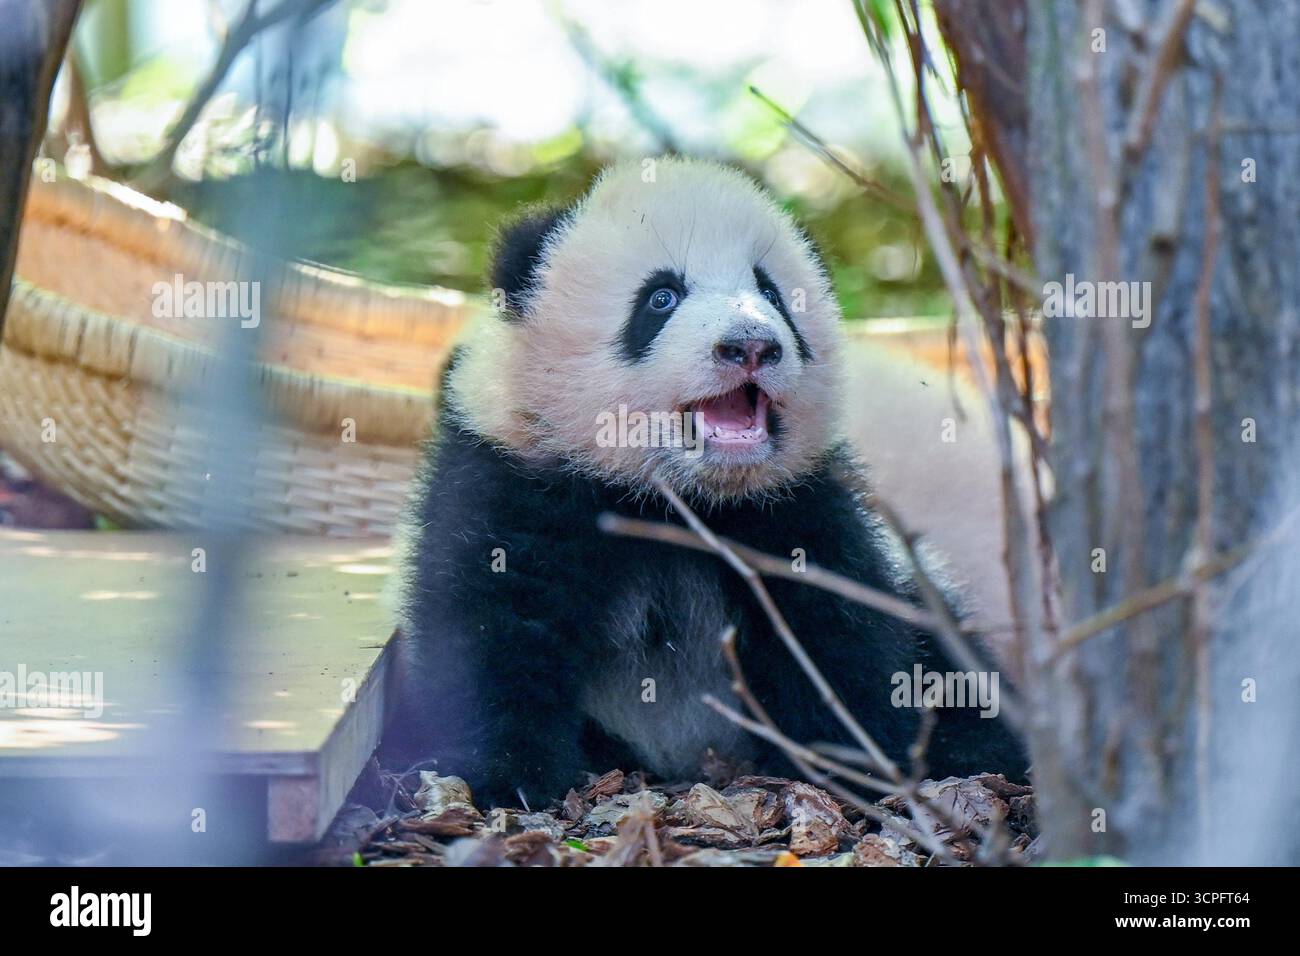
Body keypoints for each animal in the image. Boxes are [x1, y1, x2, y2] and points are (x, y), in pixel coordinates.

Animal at [384, 156, 1026, 808]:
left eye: (772, 293)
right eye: (661, 297)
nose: (750, 345)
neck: (678, 498)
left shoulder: (798, 505)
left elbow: (838, 634)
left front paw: (858, 762)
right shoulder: (517, 477)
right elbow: (492, 626)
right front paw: (510, 776)